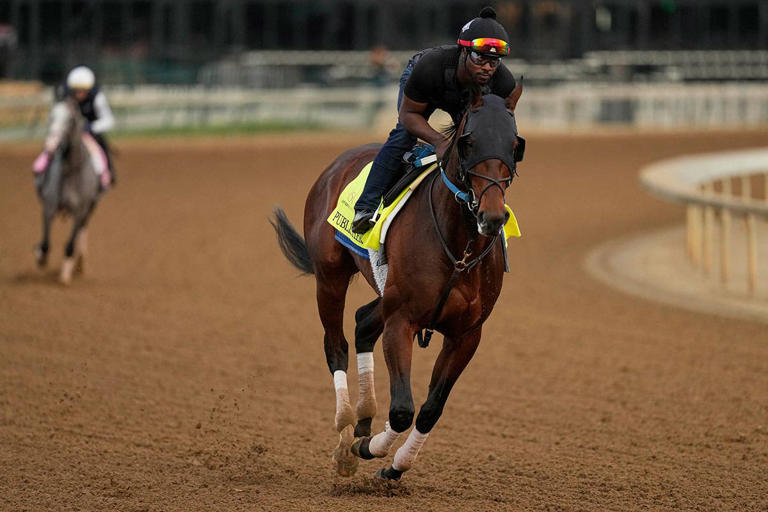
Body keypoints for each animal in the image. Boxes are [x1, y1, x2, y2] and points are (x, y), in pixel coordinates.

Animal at [34, 95, 105, 285]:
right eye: (51, 116)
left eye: (70, 120)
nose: (51, 144)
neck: (71, 171)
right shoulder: (49, 207)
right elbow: (45, 243)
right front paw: (40, 256)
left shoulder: (80, 210)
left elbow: (70, 243)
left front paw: (65, 273)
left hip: (90, 208)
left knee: (82, 230)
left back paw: (79, 263)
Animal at [272, 85, 523, 481]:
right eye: (469, 142)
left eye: (514, 145)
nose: (492, 216)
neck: (459, 248)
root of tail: (338, 163)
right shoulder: (402, 321)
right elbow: (403, 409)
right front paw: (366, 449)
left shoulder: (466, 334)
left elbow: (431, 408)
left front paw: (396, 465)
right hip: (330, 277)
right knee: (335, 345)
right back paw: (346, 427)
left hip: (383, 291)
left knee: (362, 322)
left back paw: (362, 418)